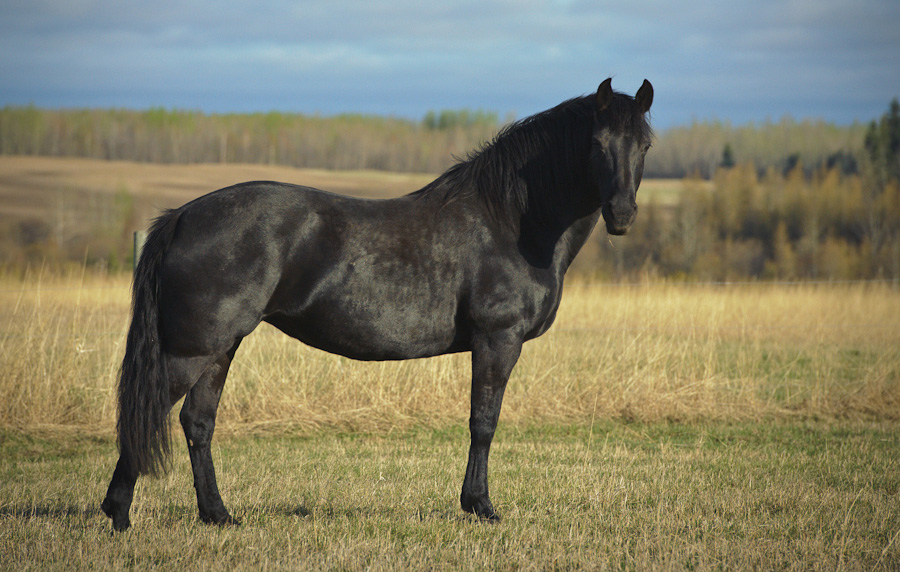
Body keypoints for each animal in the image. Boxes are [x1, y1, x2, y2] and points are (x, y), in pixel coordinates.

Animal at [101, 78, 653, 531]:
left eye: (645, 144)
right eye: (597, 143)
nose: (623, 215)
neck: (513, 222)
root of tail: (183, 216)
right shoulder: (498, 340)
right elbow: (483, 422)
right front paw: (480, 506)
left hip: (220, 347)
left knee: (198, 422)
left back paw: (217, 515)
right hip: (193, 348)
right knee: (147, 412)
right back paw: (119, 513)